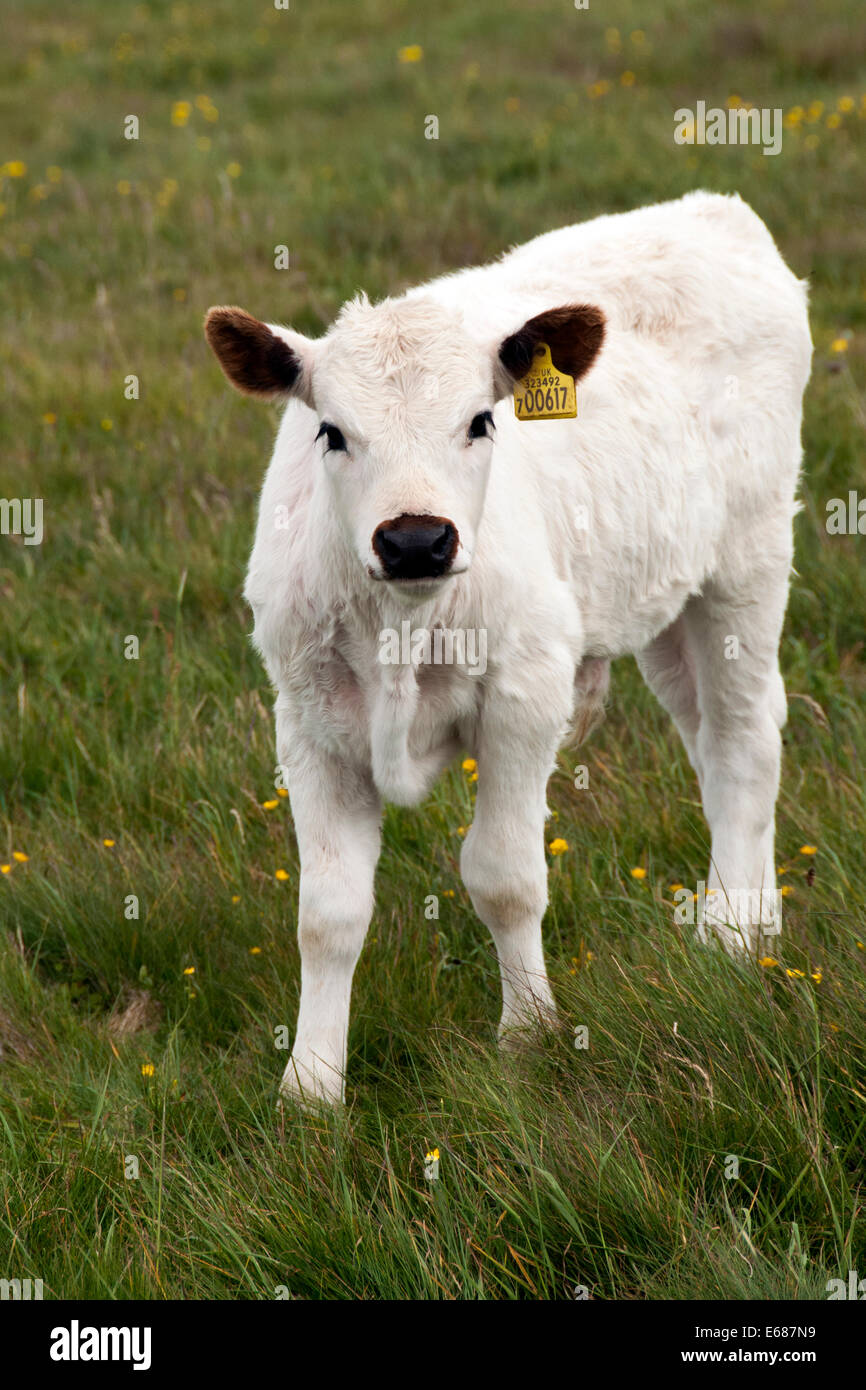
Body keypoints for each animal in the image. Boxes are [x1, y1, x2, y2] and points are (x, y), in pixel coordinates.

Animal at [204, 191, 812, 1106]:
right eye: (332, 433)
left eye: (481, 422)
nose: (415, 539)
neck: (405, 629)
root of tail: (714, 210)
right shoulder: (308, 722)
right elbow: (328, 915)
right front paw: (310, 1085)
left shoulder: (525, 697)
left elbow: (505, 877)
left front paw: (527, 1035)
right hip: (661, 602)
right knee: (714, 739)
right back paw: (749, 912)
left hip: (744, 564)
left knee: (744, 744)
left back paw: (732, 935)